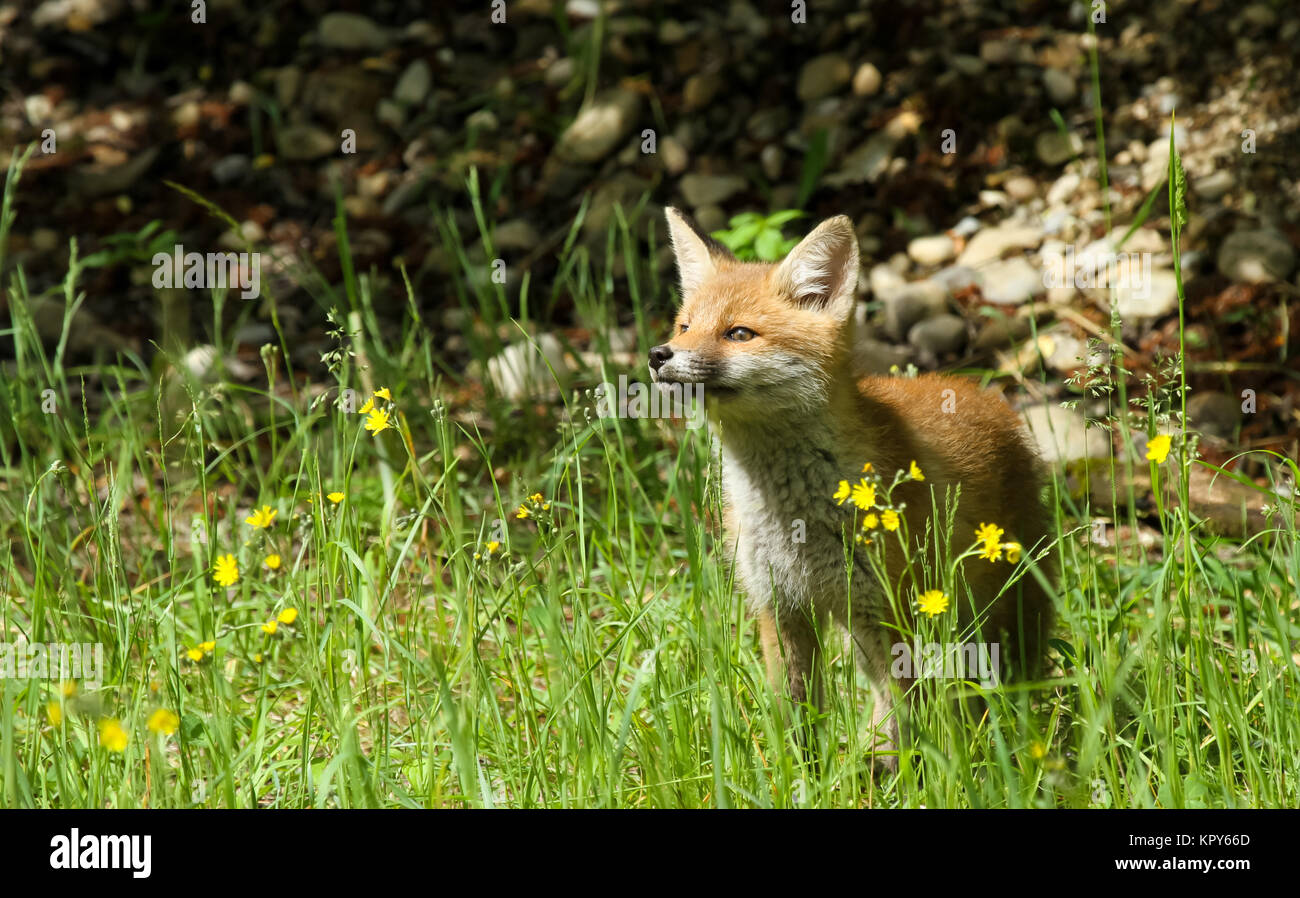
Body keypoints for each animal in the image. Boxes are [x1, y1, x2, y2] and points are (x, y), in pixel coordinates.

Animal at [649, 207, 1055, 770]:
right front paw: (800, 775)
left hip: (991, 615)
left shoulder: (892, 608)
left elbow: (910, 714)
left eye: (739, 333)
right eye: (685, 326)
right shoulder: (782, 608)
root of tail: (984, 393)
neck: (795, 517)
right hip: (866, 634)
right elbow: (797, 715)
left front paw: (910, 777)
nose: (658, 354)